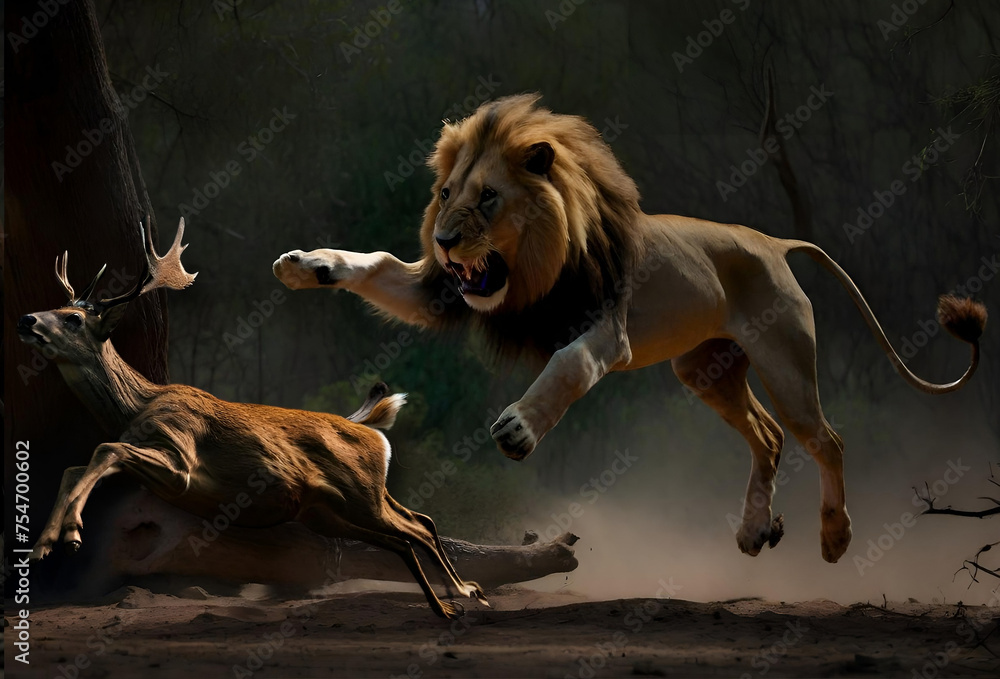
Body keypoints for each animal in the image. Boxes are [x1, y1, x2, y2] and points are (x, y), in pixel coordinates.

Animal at [17, 217, 487, 619]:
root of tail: (371, 428)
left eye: (74, 318)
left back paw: (454, 602)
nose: (25, 318)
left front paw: (71, 534)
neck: (136, 406)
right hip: (328, 510)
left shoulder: (179, 458)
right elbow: (77, 465)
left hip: (360, 495)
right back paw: (462, 595)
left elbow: (104, 449)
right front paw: (43, 545)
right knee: (412, 529)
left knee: (413, 530)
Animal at [273, 93, 987, 563]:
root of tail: (774, 241)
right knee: (769, 437)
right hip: (705, 370)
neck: (534, 264)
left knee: (826, 439)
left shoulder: (604, 333)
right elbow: (375, 264)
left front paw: (518, 429)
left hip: (785, 363)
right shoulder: (440, 291)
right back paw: (755, 531)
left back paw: (835, 538)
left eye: (488, 198)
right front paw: (305, 265)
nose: (446, 241)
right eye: (445, 193)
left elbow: (564, 365)